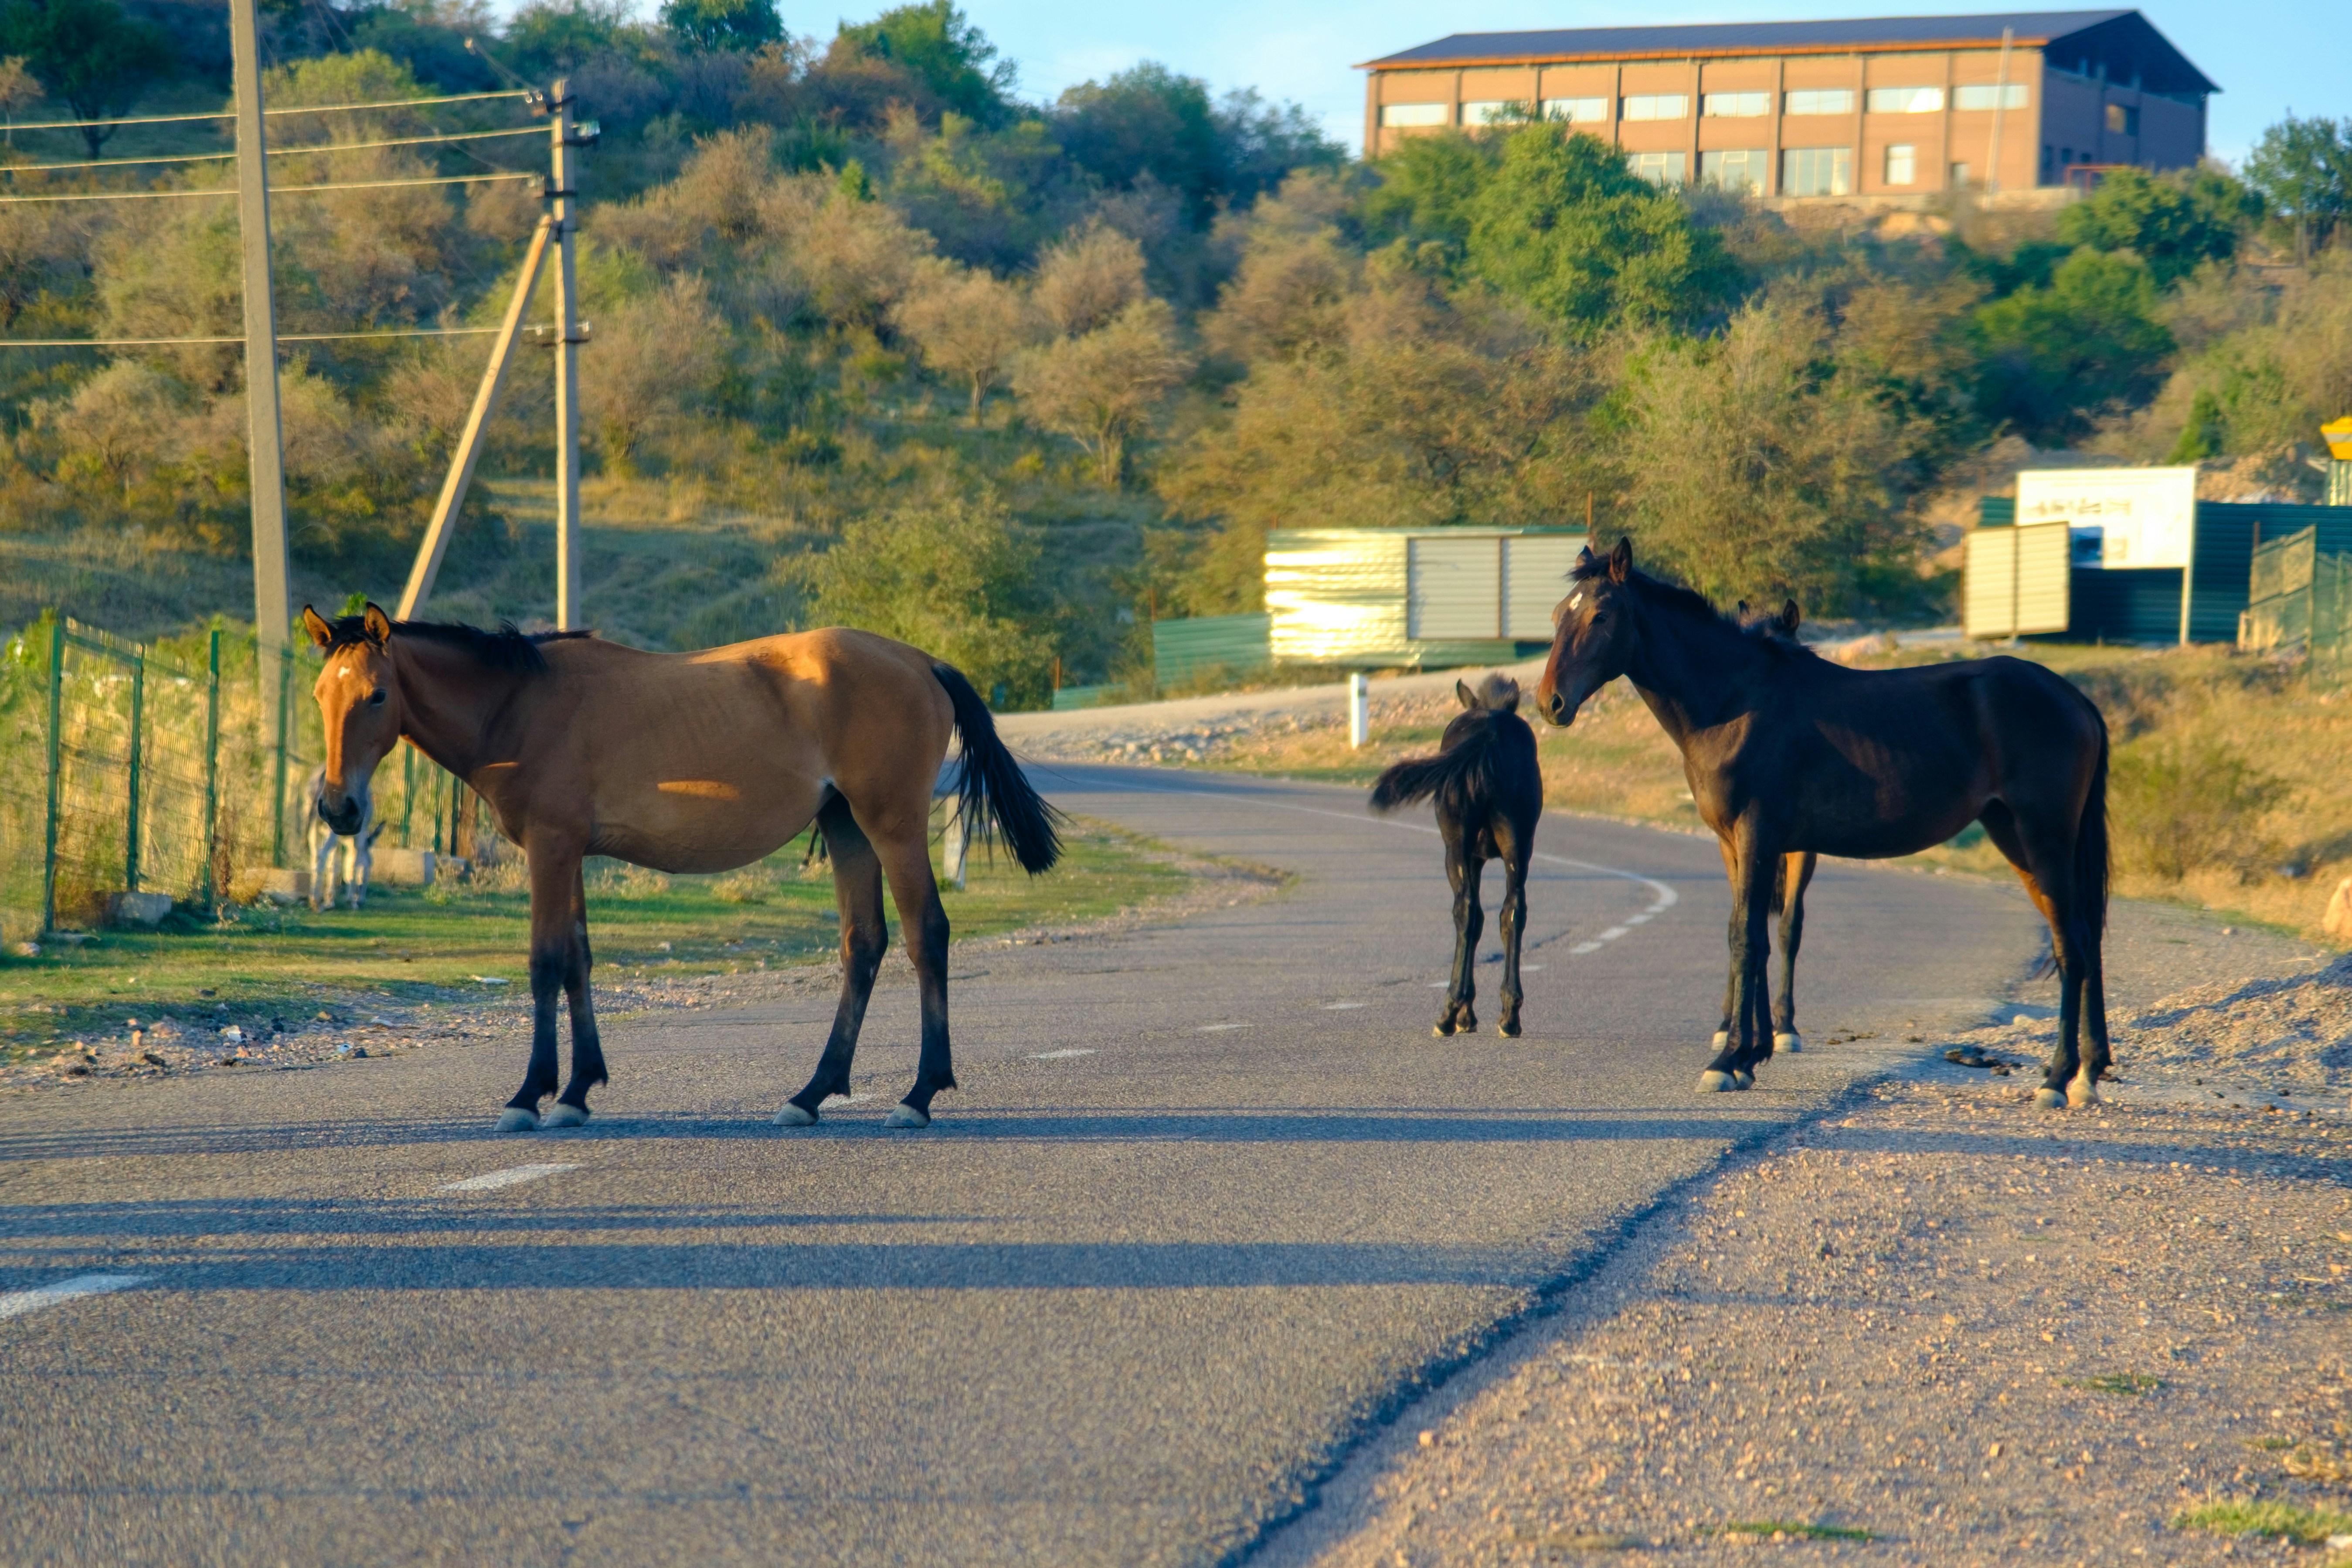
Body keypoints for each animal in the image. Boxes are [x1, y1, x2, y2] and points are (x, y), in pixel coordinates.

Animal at [303, 765, 384, 910]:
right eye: (371, 865)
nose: (362, 901)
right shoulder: (360, 835)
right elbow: (355, 864)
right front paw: (352, 901)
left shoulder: (336, 836)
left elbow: (335, 865)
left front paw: (330, 901)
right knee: (320, 856)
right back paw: (316, 903)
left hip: (313, 826)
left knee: (315, 856)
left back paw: (315, 899)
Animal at [1369, 673, 1543, 1038]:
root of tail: (1489, 738)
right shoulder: (1485, 857)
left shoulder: (1469, 857)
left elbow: (1473, 919)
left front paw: (1465, 1014)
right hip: (1519, 843)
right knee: (1514, 910)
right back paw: (1510, 1015)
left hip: (1456, 846)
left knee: (1466, 909)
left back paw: (1449, 1013)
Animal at [1535, 540, 2111, 1109]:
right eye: (1557, 614)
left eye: (1601, 615)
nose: (1549, 703)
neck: (1735, 702)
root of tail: (2073, 697)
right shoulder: (1734, 844)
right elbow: (1747, 935)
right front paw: (1749, 1055)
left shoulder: (1757, 835)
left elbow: (1750, 939)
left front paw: (1729, 1061)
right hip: (2014, 838)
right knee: (2082, 938)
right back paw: (2086, 1074)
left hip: (2043, 837)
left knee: (2070, 946)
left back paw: (2056, 1079)